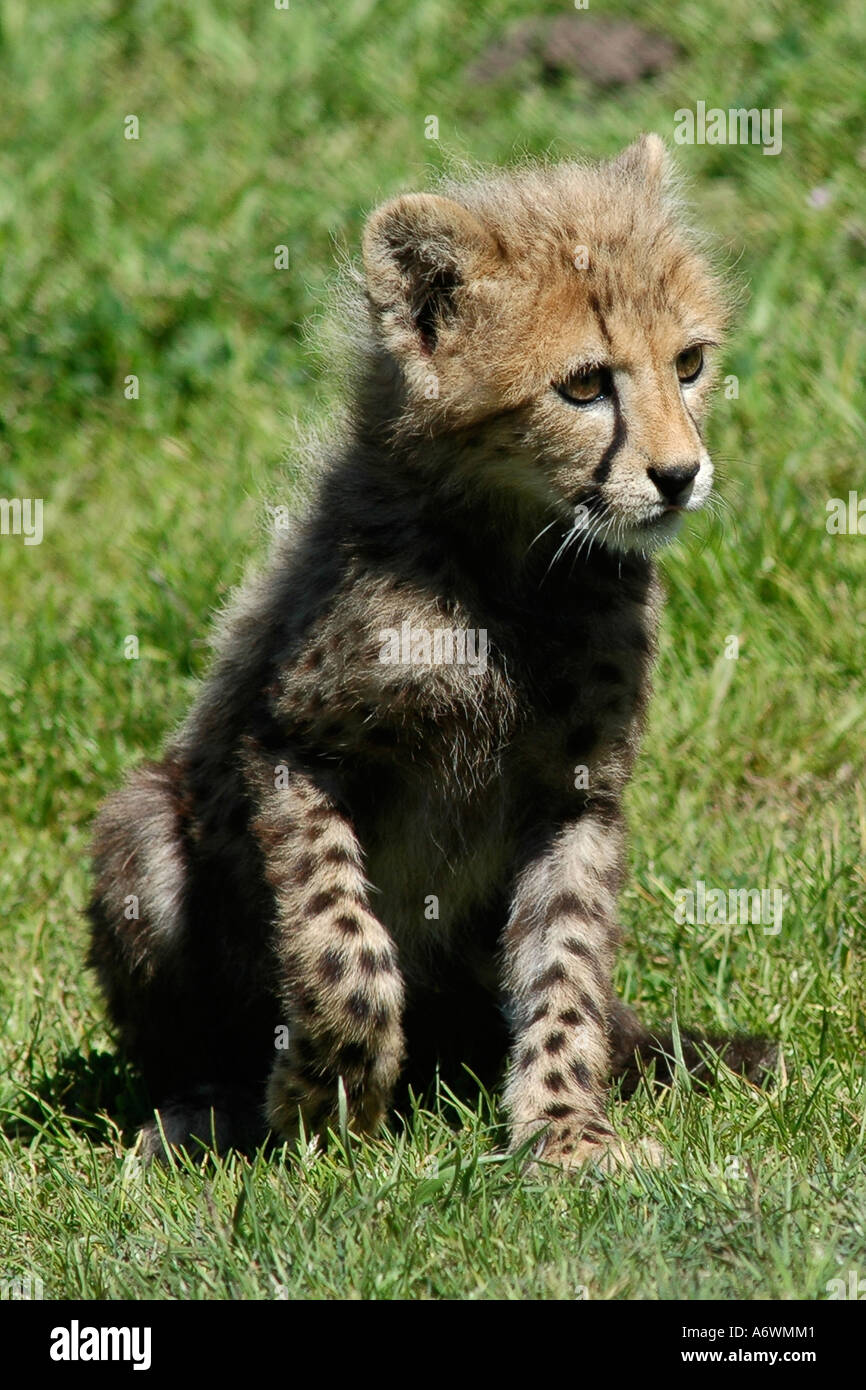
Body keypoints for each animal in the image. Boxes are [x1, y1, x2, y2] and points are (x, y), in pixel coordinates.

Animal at [87, 134, 775, 1169]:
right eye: (584, 385)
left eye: (689, 364)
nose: (680, 475)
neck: (514, 568)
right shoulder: (291, 747)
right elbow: (342, 939)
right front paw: (326, 1100)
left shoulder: (575, 794)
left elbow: (565, 964)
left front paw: (567, 1133)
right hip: (142, 833)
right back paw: (207, 1113)